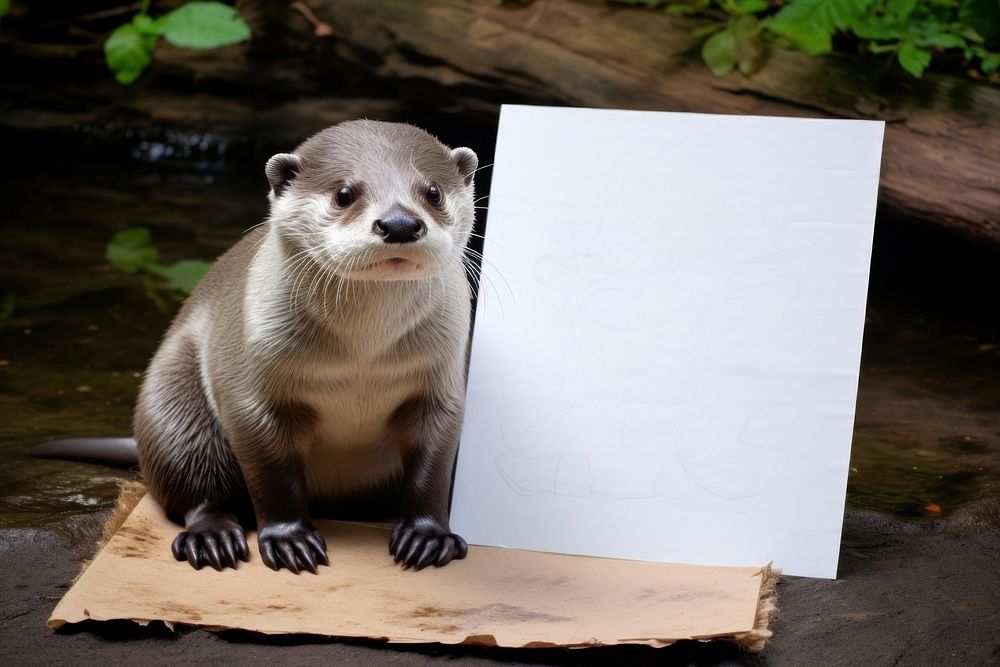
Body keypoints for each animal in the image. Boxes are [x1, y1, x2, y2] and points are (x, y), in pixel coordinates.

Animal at [107, 121, 477, 574]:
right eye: (344, 193)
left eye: (433, 192)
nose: (401, 224)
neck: (363, 355)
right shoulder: (252, 393)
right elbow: (273, 477)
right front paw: (289, 540)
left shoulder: (441, 384)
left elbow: (432, 467)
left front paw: (427, 536)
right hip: (172, 403)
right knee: (196, 486)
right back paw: (211, 538)